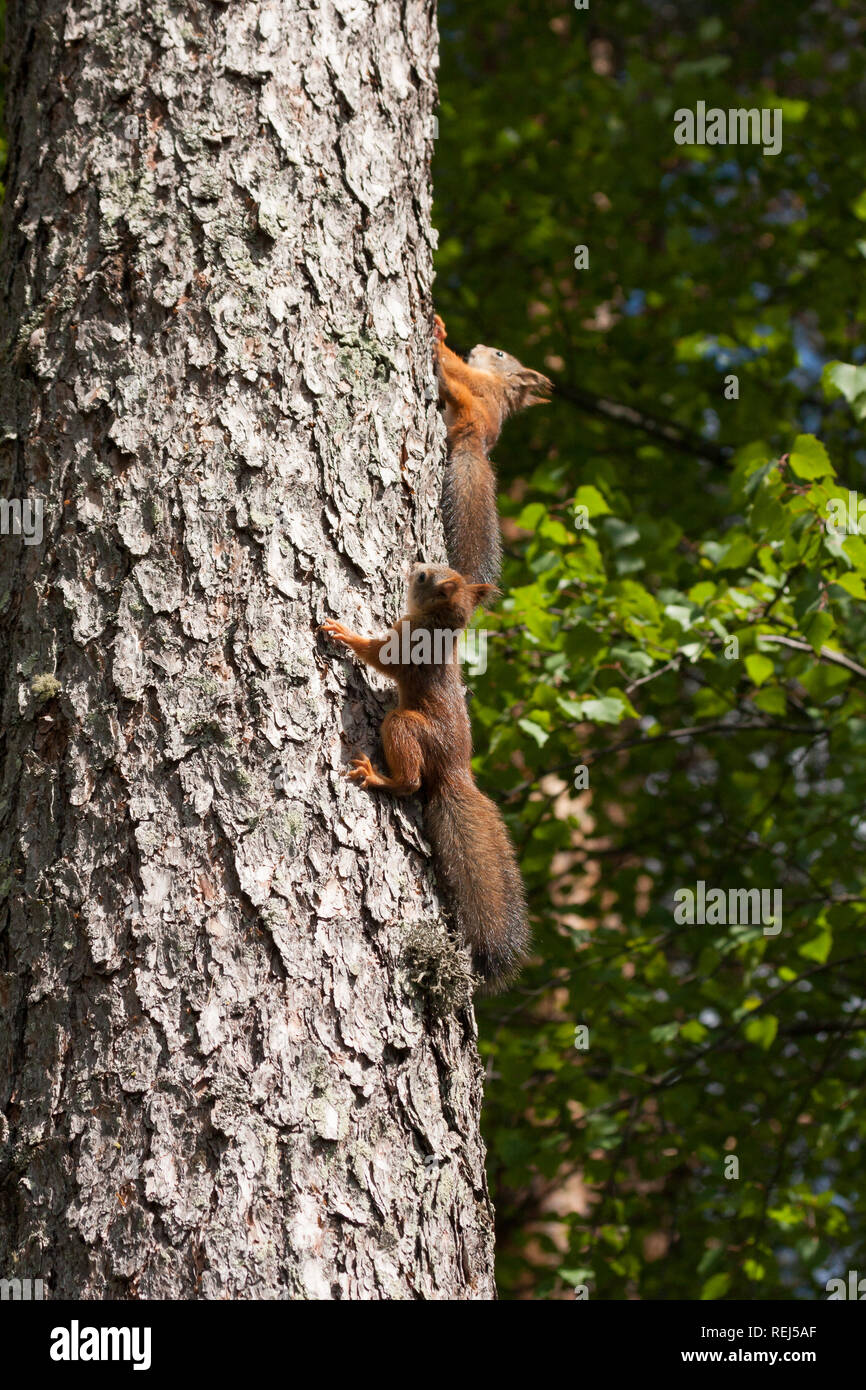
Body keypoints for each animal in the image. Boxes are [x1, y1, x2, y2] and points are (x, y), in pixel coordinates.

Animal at [320, 564, 529, 993]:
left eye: (424, 578)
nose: (412, 565)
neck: (439, 624)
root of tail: (455, 771)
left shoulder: (405, 644)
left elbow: (379, 657)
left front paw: (344, 633)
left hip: (408, 727)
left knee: (411, 781)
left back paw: (379, 777)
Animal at [433, 313, 552, 586]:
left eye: (499, 354)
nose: (477, 346)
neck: (499, 383)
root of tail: (475, 442)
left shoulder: (481, 383)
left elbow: (459, 369)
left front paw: (440, 337)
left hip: (468, 406)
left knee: (456, 390)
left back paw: (442, 377)